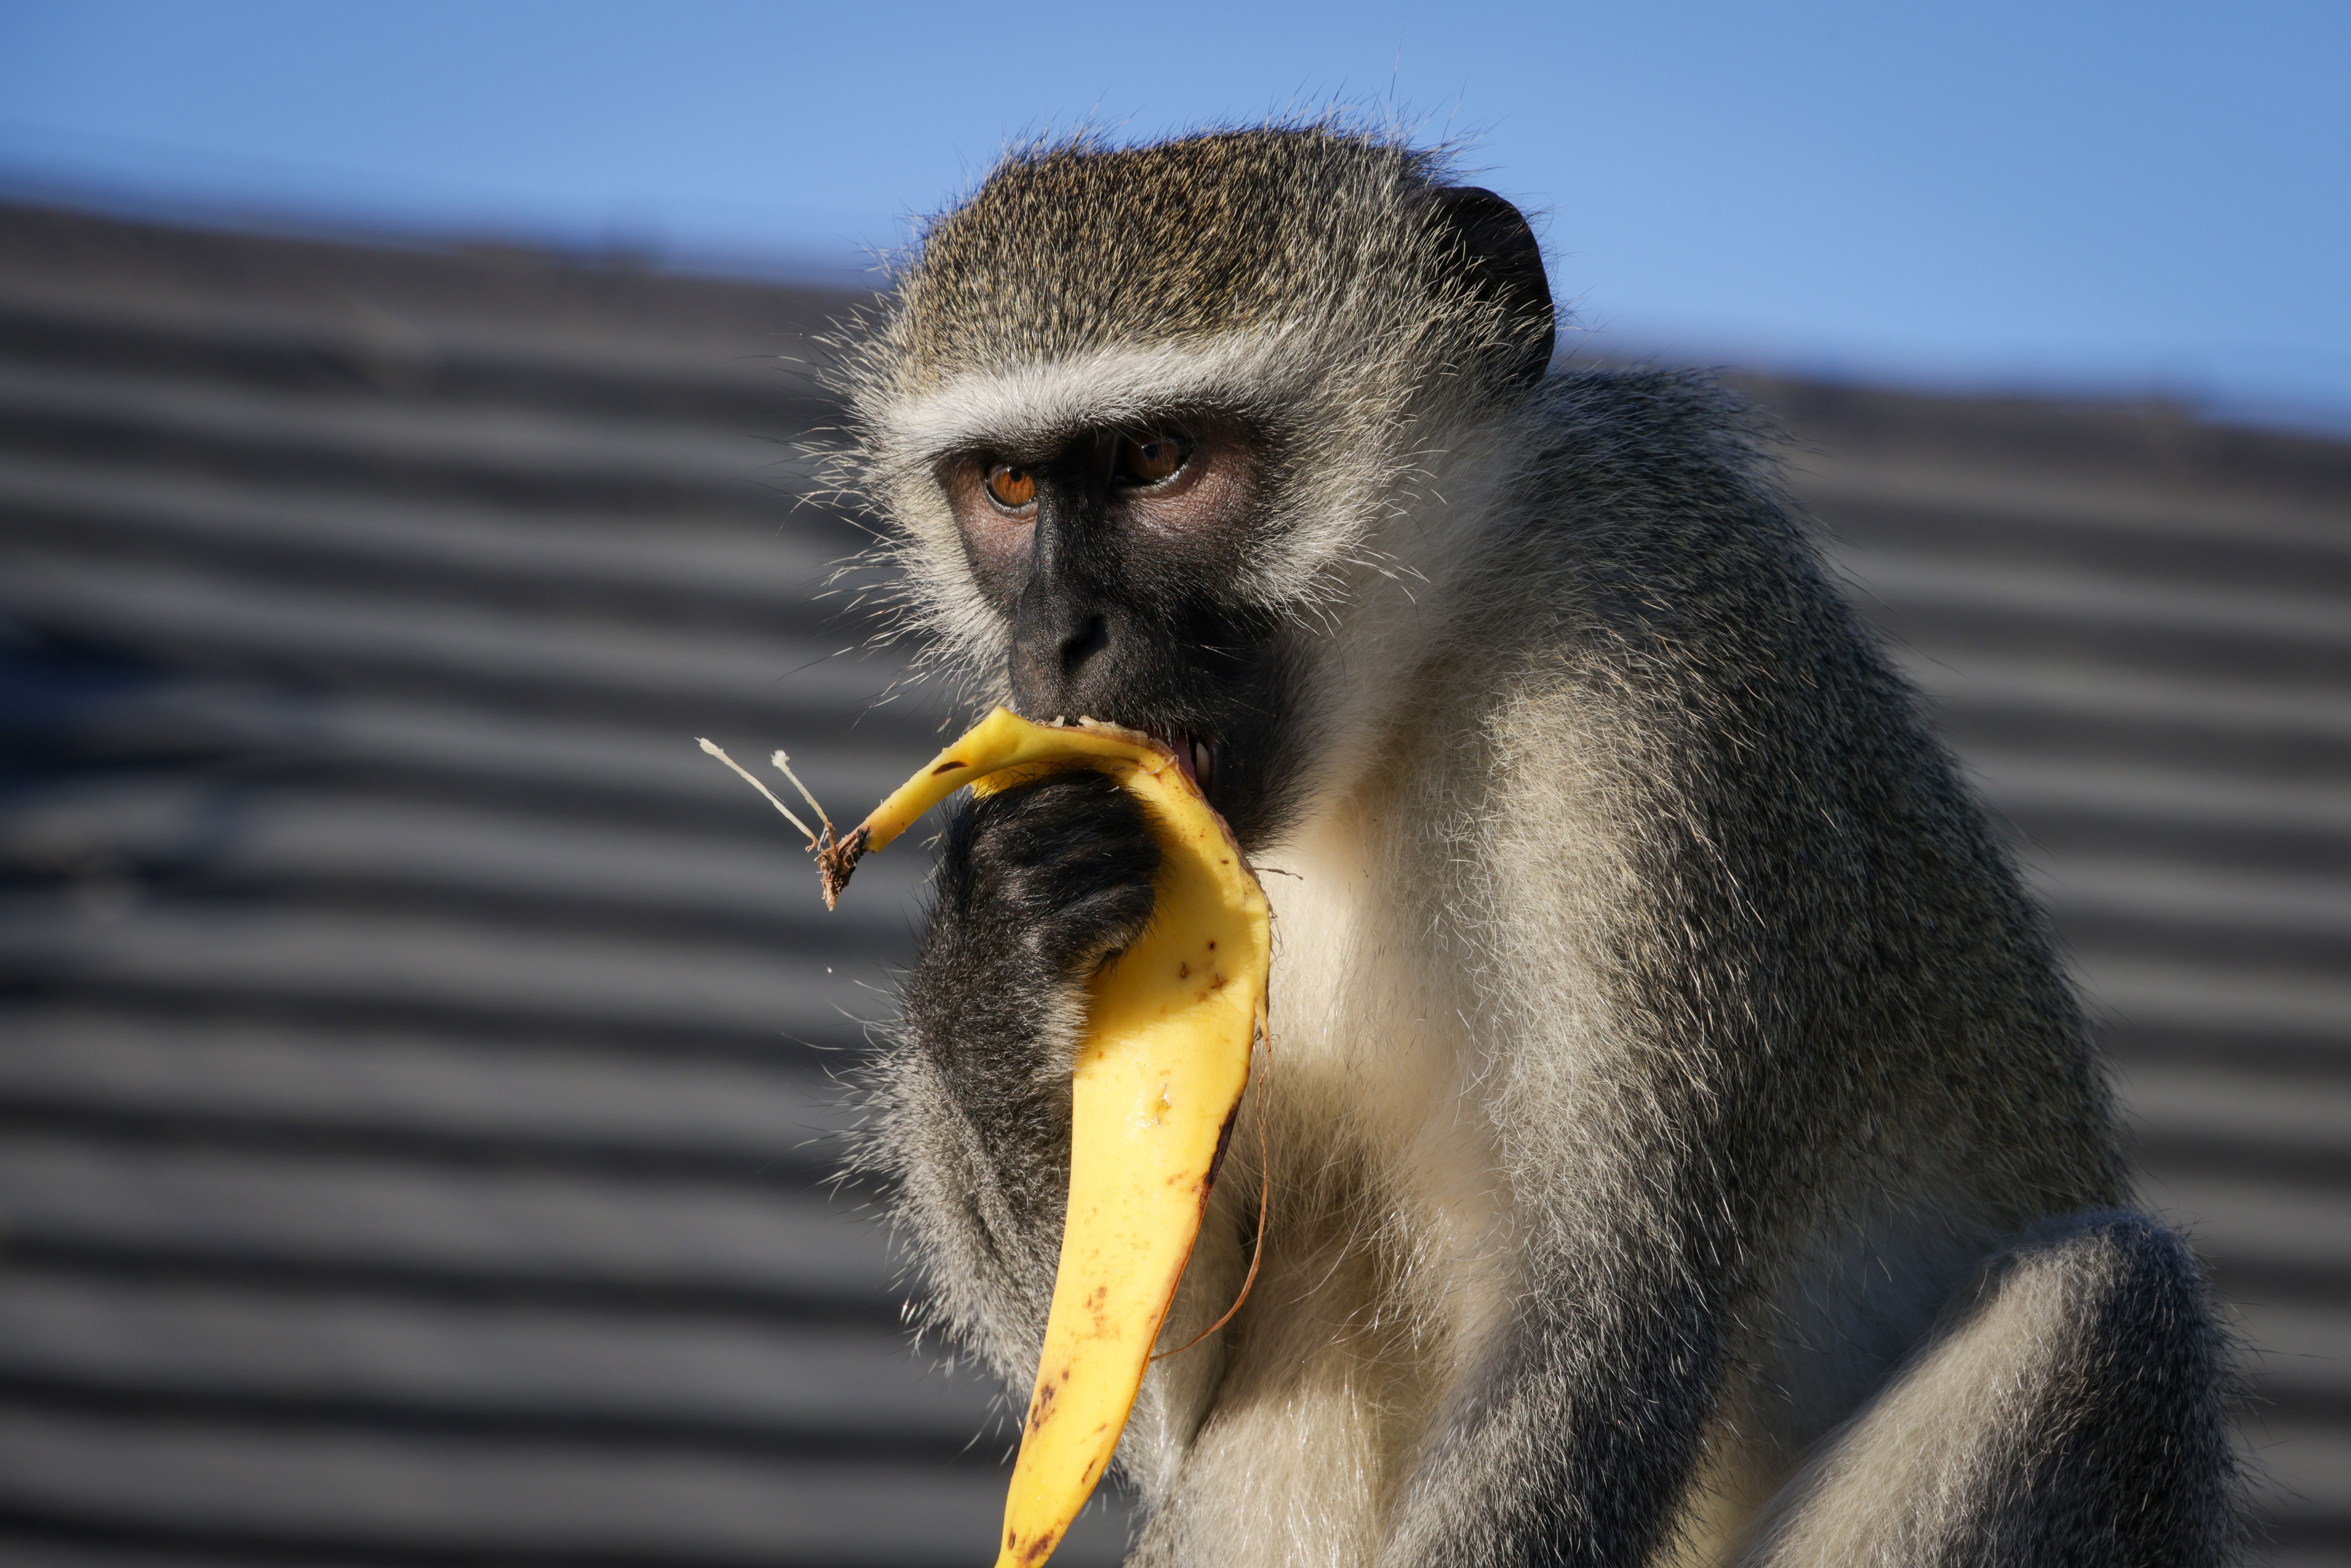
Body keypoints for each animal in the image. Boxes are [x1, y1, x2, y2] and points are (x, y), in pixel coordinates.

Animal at [832, 125, 2240, 1567]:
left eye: (1158, 459)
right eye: (1008, 486)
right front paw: (1002, 934)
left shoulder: (1652, 685)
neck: (1410, 680)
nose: (1058, 634)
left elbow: (1602, 1301)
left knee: (2109, 1306)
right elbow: (1161, 1363)